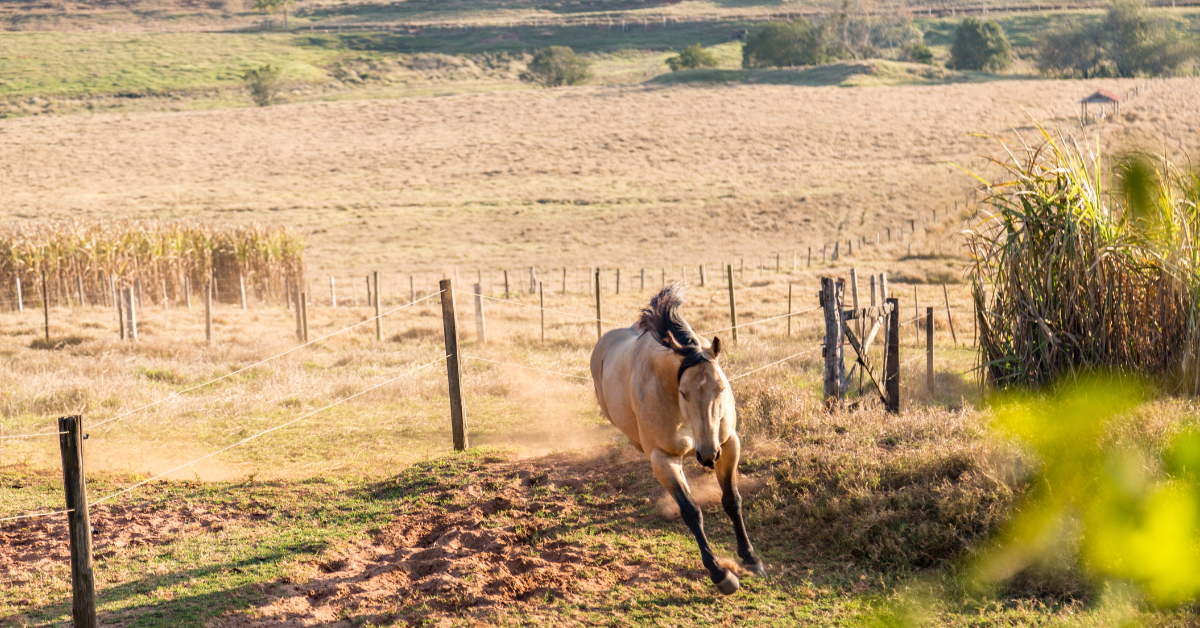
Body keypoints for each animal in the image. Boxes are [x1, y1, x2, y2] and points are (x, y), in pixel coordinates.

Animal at [590, 283, 765, 595]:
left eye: (721, 388)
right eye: (684, 392)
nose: (707, 455)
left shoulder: (728, 444)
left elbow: (732, 500)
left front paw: (750, 557)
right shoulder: (663, 459)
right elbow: (691, 511)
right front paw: (720, 573)